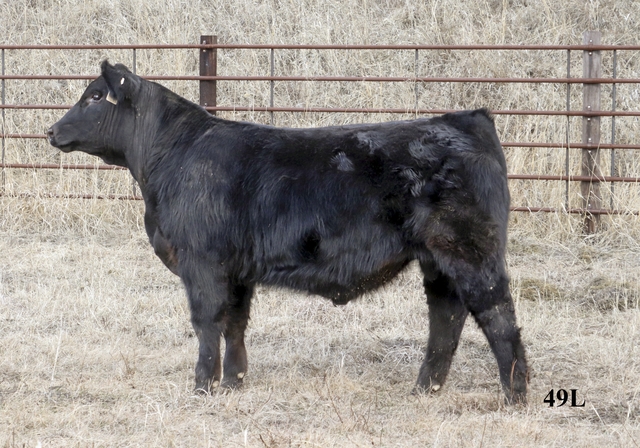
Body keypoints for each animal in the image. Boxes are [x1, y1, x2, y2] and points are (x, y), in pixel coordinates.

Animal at [48, 61, 528, 404]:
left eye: (95, 97)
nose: (51, 130)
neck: (172, 157)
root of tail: (469, 119)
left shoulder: (202, 262)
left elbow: (206, 322)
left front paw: (203, 386)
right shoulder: (237, 270)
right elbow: (235, 323)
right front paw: (234, 382)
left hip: (471, 251)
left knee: (498, 316)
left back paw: (515, 395)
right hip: (438, 261)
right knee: (446, 318)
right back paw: (424, 390)